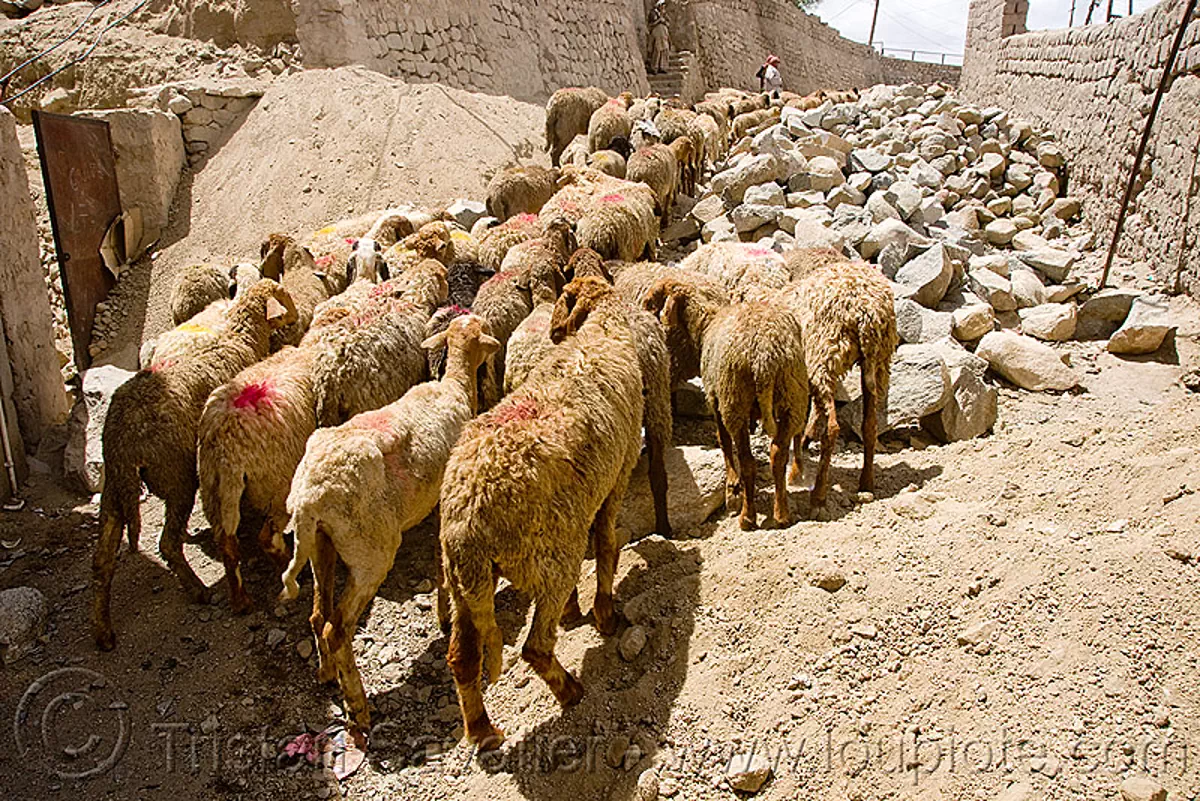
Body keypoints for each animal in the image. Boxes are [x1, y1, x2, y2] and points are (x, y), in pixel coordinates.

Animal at [92, 280, 298, 650]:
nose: (295, 319)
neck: (239, 338)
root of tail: (122, 442)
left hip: (114, 488)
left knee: (102, 560)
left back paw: (103, 632)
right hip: (175, 476)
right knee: (167, 543)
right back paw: (199, 590)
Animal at [280, 314, 499, 735]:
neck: (454, 386)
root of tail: (307, 498)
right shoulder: (440, 502)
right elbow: (439, 561)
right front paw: (444, 611)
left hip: (319, 544)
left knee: (317, 615)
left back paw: (327, 675)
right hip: (370, 550)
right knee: (337, 628)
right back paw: (358, 706)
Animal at [440, 277, 645, 750]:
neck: (602, 329)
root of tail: (465, 522)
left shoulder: (569, 519)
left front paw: (574, 612)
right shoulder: (617, 476)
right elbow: (606, 544)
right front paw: (604, 614)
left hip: (463, 584)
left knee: (462, 658)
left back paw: (482, 731)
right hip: (545, 562)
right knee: (533, 646)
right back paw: (570, 691)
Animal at [644, 276, 808, 530]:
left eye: (654, 299)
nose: (643, 309)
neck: (705, 324)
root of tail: (763, 358)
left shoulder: (715, 398)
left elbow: (723, 440)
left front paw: (732, 486)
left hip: (734, 400)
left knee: (748, 461)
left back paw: (747, 516)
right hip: (792, 397)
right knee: (777, 454)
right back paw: (781, 514)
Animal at [779, 248, 898, 510]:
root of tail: (866, 314)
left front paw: (796, 472)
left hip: (824, 353)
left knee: (833, 428)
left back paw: (819, 495)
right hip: (877, 362)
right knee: (870, 424)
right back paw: (866, 483)